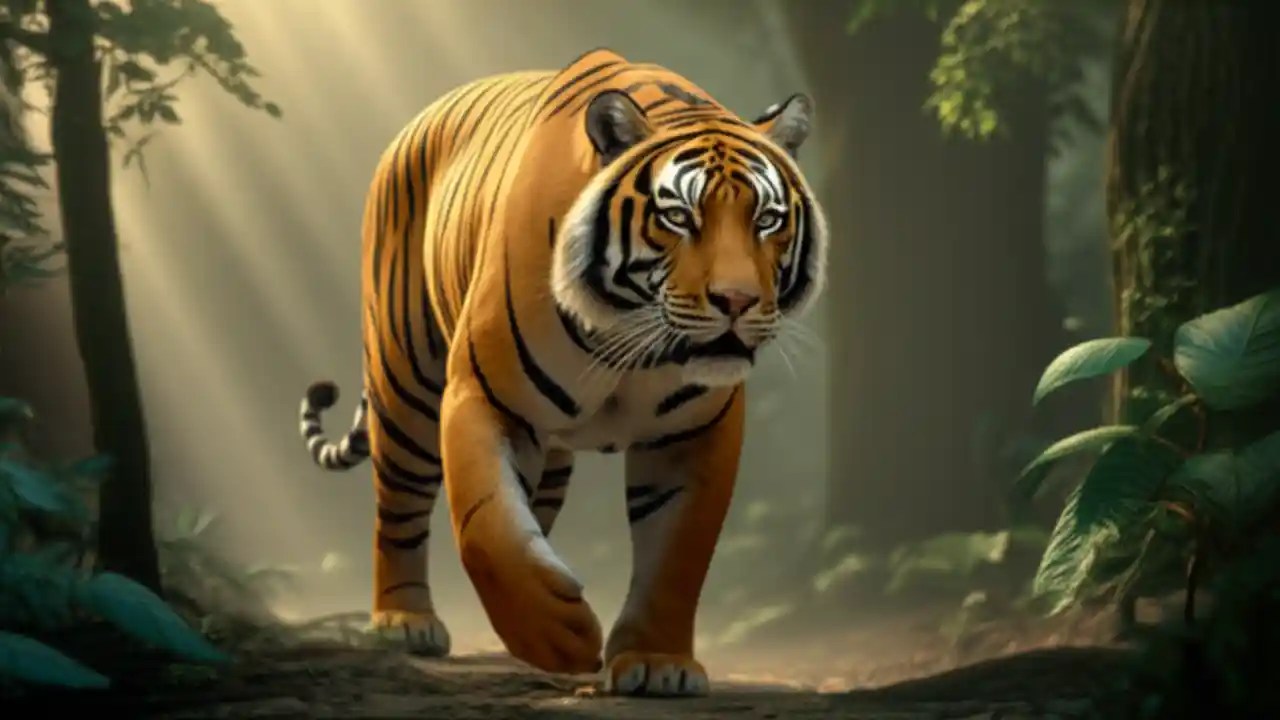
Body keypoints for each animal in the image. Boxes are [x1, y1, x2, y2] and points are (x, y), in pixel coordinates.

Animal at [295, 48, 828, 696]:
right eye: (678, 216)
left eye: (768, 219)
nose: (737, 301)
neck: (634, 341)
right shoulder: (482, 395)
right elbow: (486, 527)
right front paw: (560, 635)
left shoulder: (694, 432)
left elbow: (678, 554)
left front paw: (657, 662)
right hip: (407, 385)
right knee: (399, 507)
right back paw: (404, 622)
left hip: (546, 451)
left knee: (534, 507)